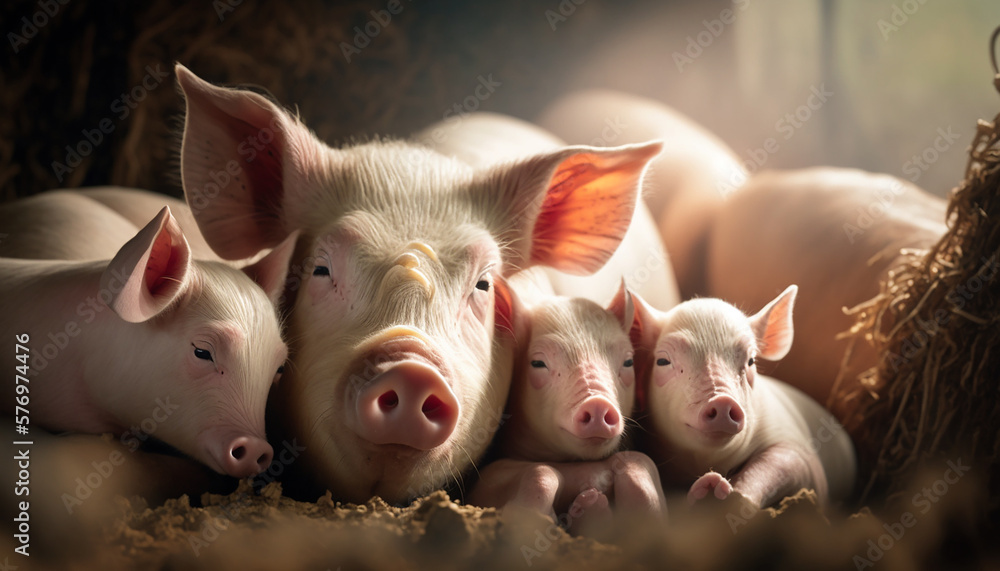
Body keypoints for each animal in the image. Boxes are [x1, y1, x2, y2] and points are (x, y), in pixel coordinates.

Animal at [631, 285, 856, 508]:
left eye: (751, 361)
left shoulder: (792, 437)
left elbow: (787, 462)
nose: (722, 400)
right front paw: (708, 488)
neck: (706, 461)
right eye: (662, 361)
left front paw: (717, 488)